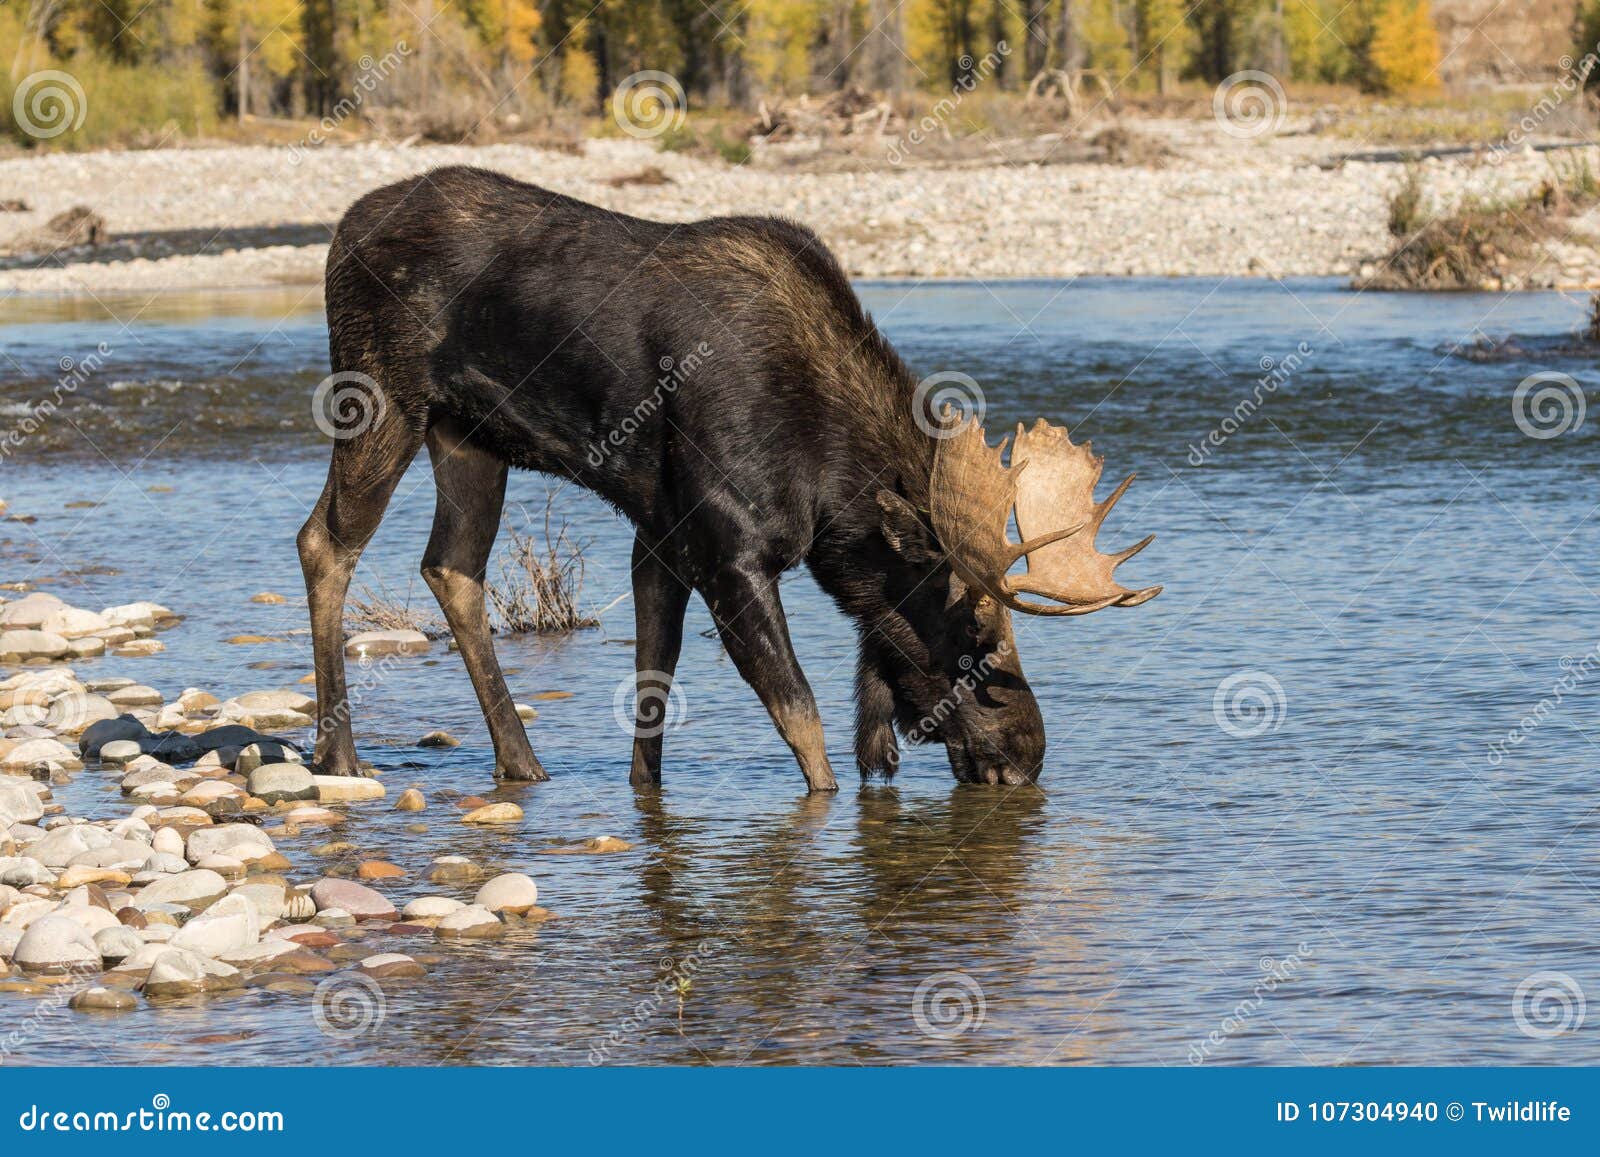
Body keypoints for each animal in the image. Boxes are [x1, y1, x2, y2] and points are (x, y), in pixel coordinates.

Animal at [298, 166, 1160, 794]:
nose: (1028, 755)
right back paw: (339, 754)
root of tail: (338, 234)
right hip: (380, 399)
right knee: (324, 543)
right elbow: (800, 714)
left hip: (470, 438)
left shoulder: (661, 534)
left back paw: (521, 761)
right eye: (977, 646)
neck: (830, 486)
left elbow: (653, 692)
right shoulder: (729, 550)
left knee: (452, 568)